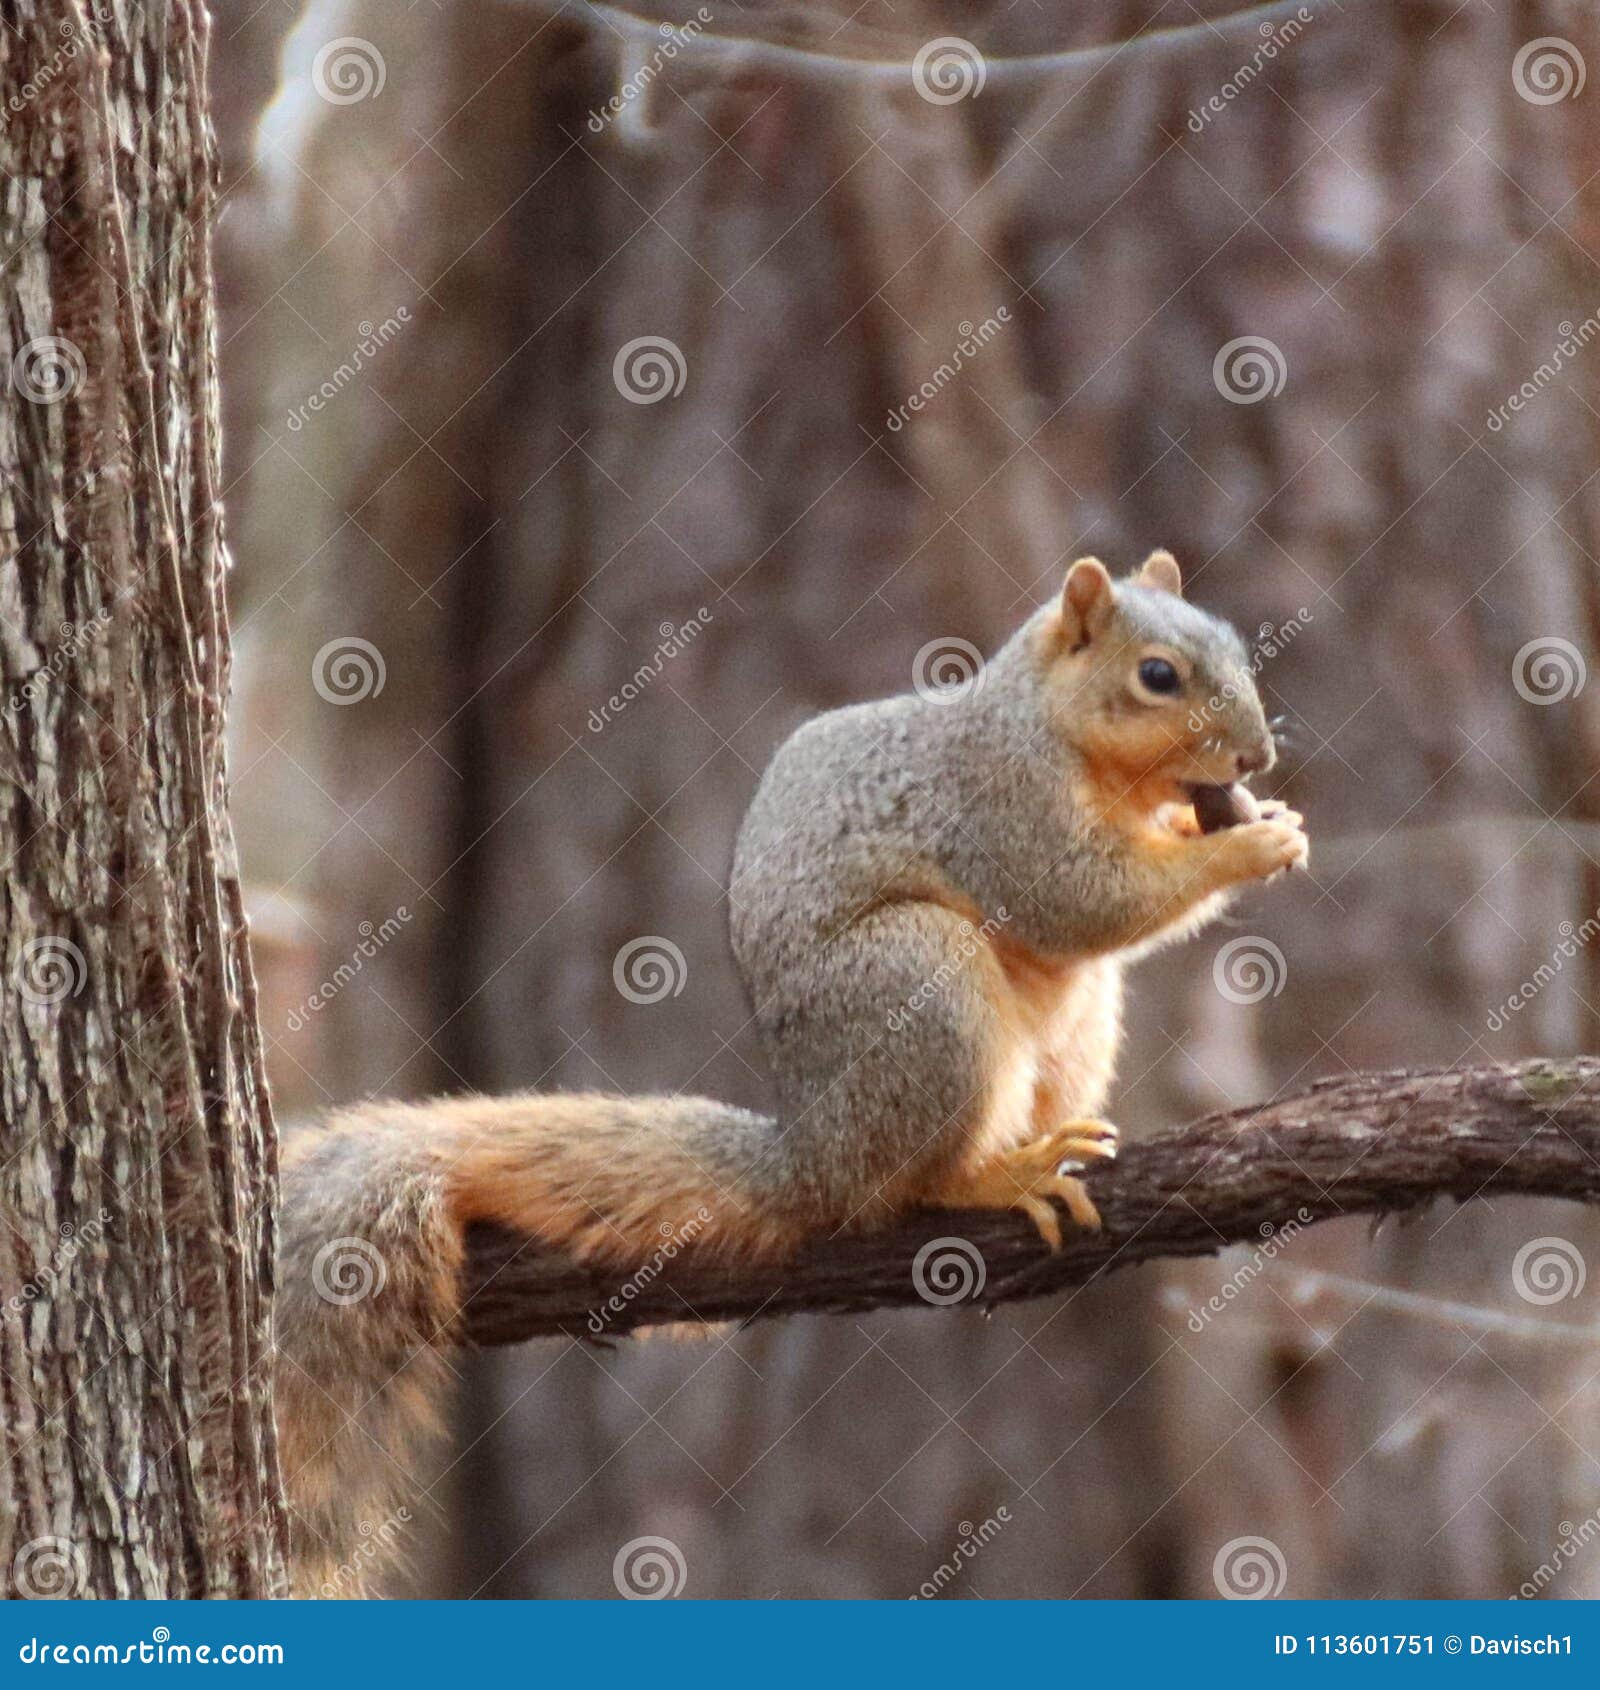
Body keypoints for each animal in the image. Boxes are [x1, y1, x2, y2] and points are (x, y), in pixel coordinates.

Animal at [275, 549, 1306, 1591]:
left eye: (1232, 644)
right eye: (1158, 676)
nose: (1254, 759)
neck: (1060, 732)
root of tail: (810, 1154)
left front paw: (1255, 820)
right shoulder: (1003, 810)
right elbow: (1081, 898)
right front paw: (1250, 843)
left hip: (1078, 1021)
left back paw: (1053, 1141)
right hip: (920, 984)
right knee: (908, 1184)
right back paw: (996, 1175)